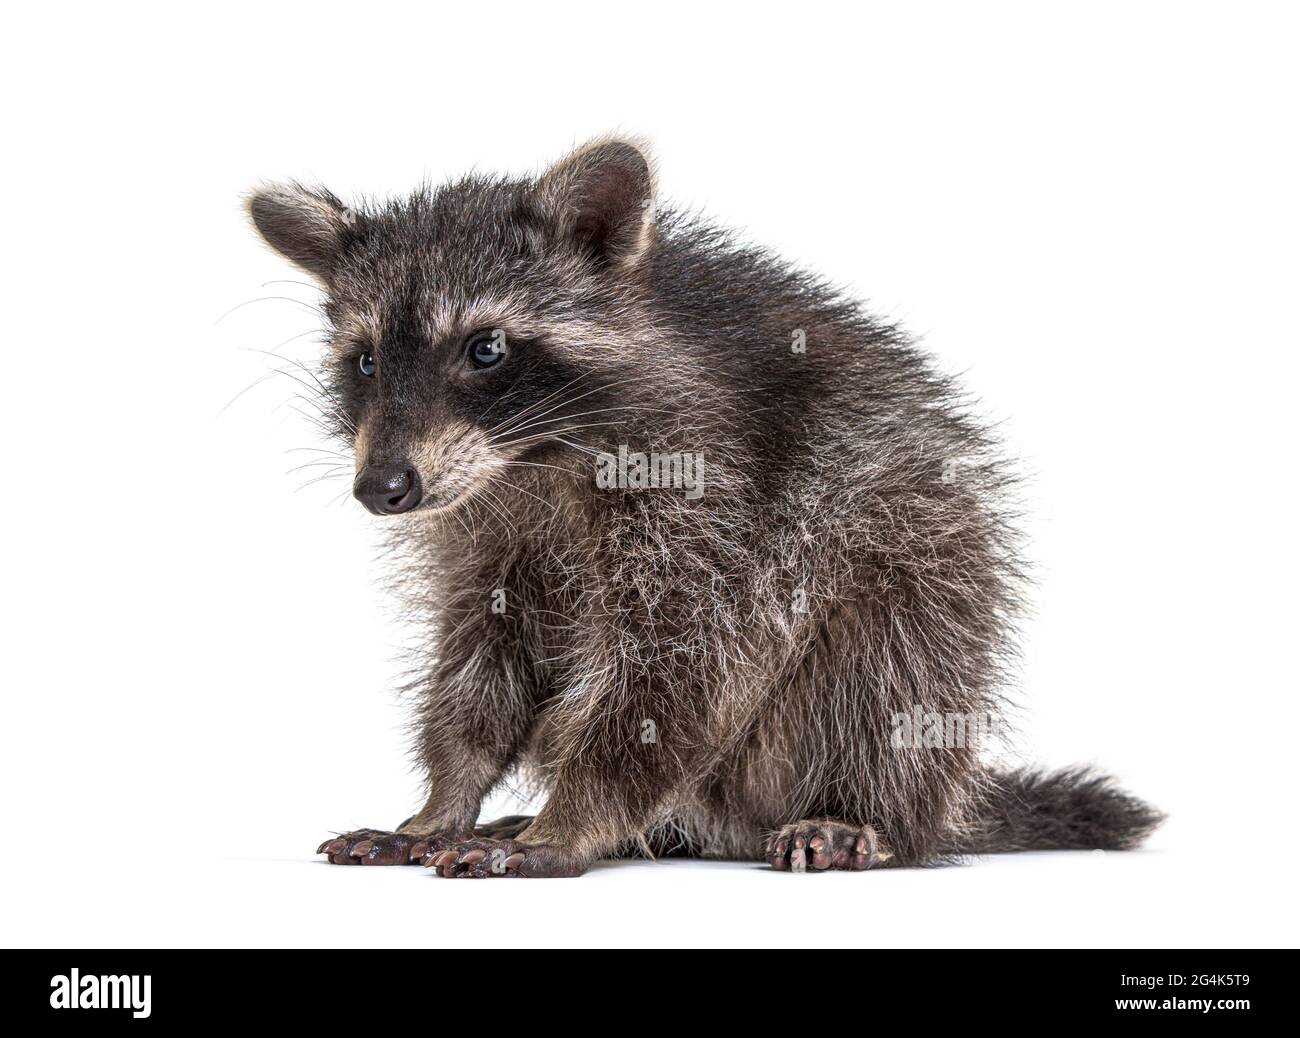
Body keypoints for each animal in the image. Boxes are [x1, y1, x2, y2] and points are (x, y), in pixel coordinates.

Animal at [247, 136, 1161, 877]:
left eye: (487, 347)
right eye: (366, 361)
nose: (381, 489)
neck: (528, 460)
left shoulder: (713, 485)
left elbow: (679, 666)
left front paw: (574, 817)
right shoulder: (481, 526)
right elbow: (479, 659)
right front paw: (443, 802)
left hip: (928, 570)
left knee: (891, 655)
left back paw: (866, 813)